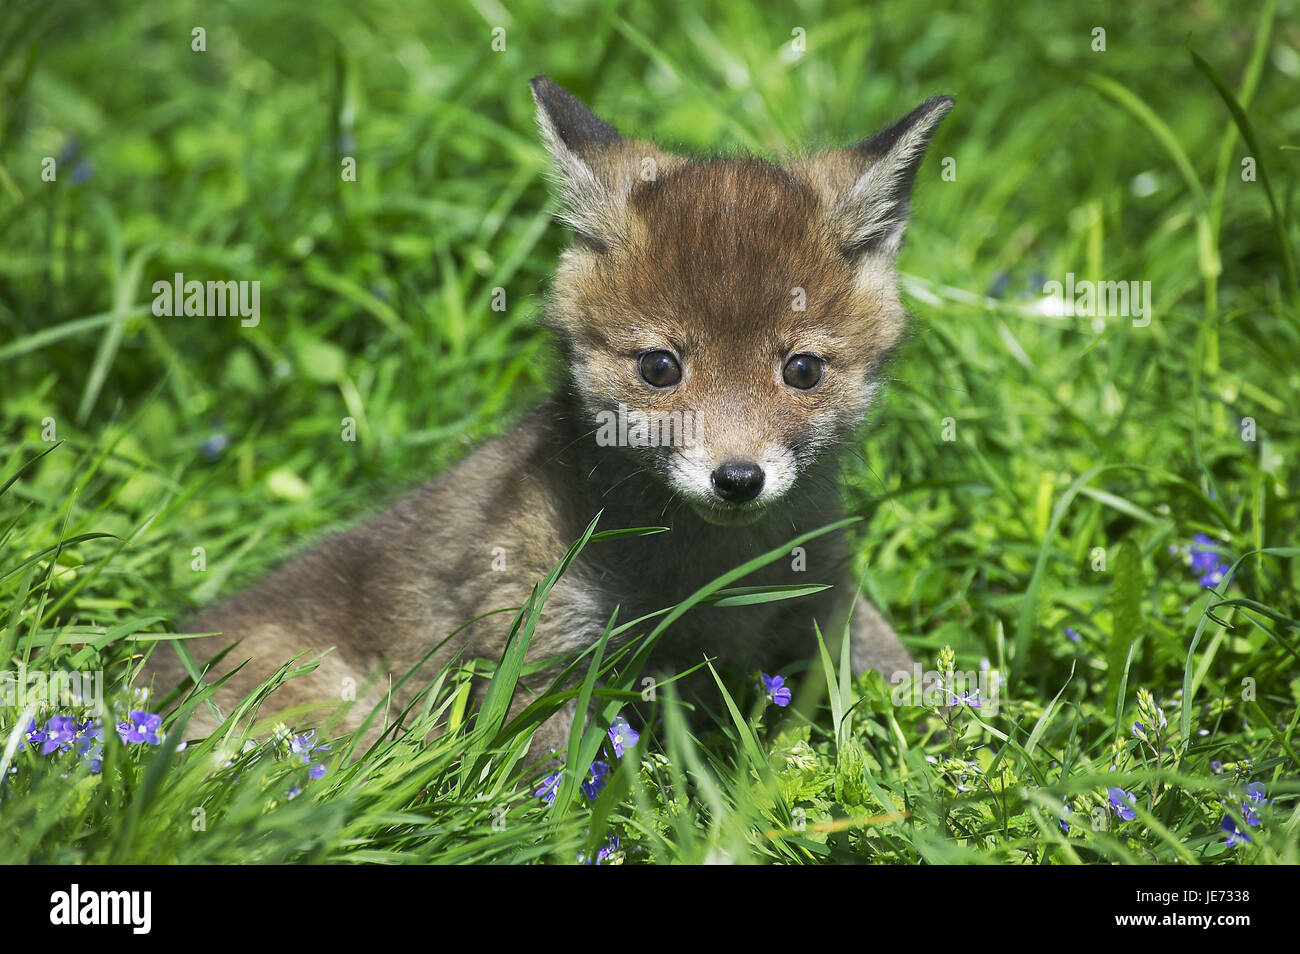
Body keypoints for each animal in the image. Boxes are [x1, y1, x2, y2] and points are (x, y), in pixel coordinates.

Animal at [145, 77, 954, 753]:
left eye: (802, 370)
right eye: (660, 368)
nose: (737, 479)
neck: (713, 570)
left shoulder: (828, 588)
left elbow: (909, 676)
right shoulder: (538, 644)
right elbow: (557, 783)